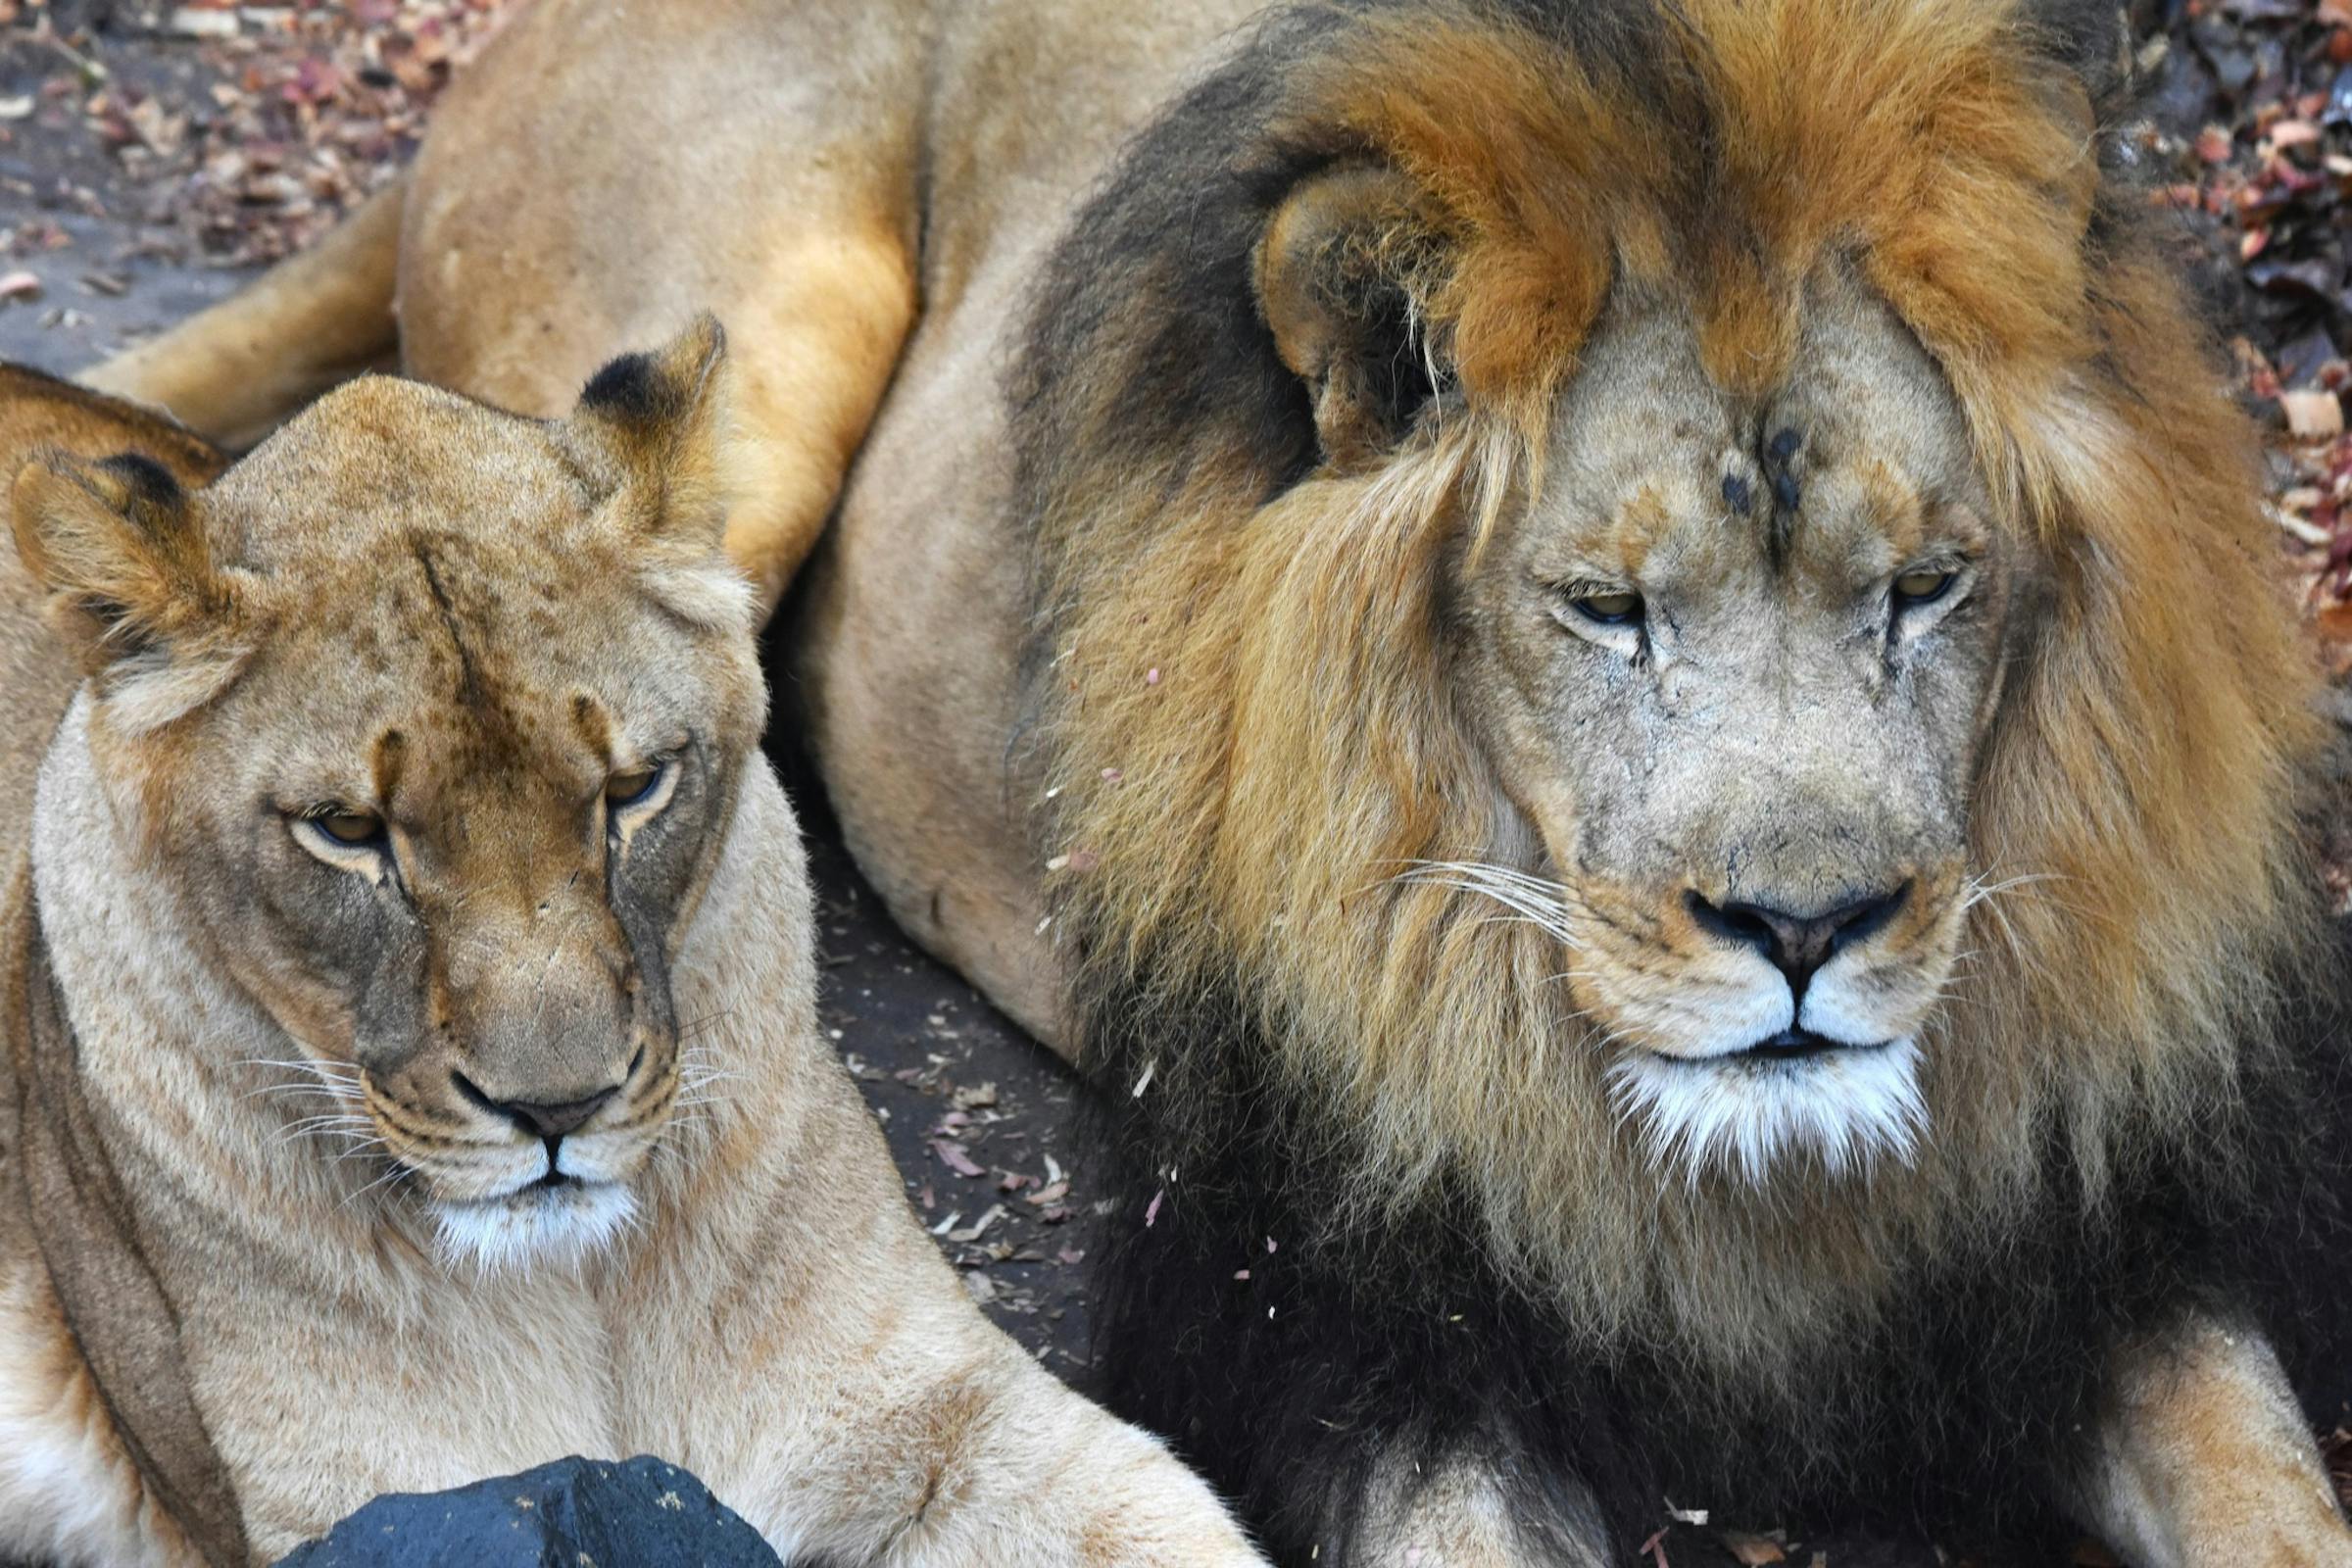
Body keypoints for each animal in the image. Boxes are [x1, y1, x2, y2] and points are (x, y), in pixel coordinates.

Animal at [0, 331, 1266, 1567]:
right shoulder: (371, 1505)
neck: (588, 1292)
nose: (557, 1109)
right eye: (348, 831)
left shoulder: (961, 1414)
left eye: (633, 787)